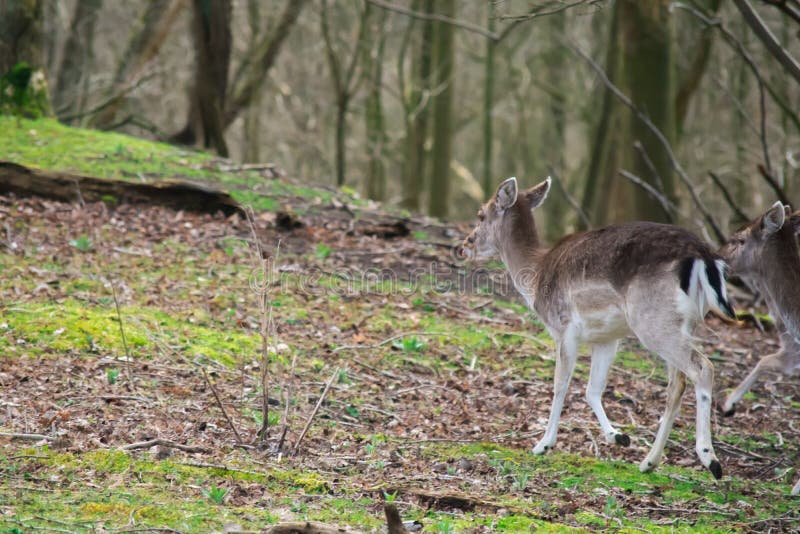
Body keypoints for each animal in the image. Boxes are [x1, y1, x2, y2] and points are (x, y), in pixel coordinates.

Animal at [459, 177, 736, 479]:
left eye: (480, 215)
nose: (463, 247)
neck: (535, 276)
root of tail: (705, 257)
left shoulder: (564, 327)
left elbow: (560, 384)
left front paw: (543, 444)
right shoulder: (606, 337)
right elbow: (593, 389)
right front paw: (618, 437)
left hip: (652, 321)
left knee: (702, 367)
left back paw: (710, 459)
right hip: (684, 323)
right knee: (677, 383)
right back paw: (649, 461)